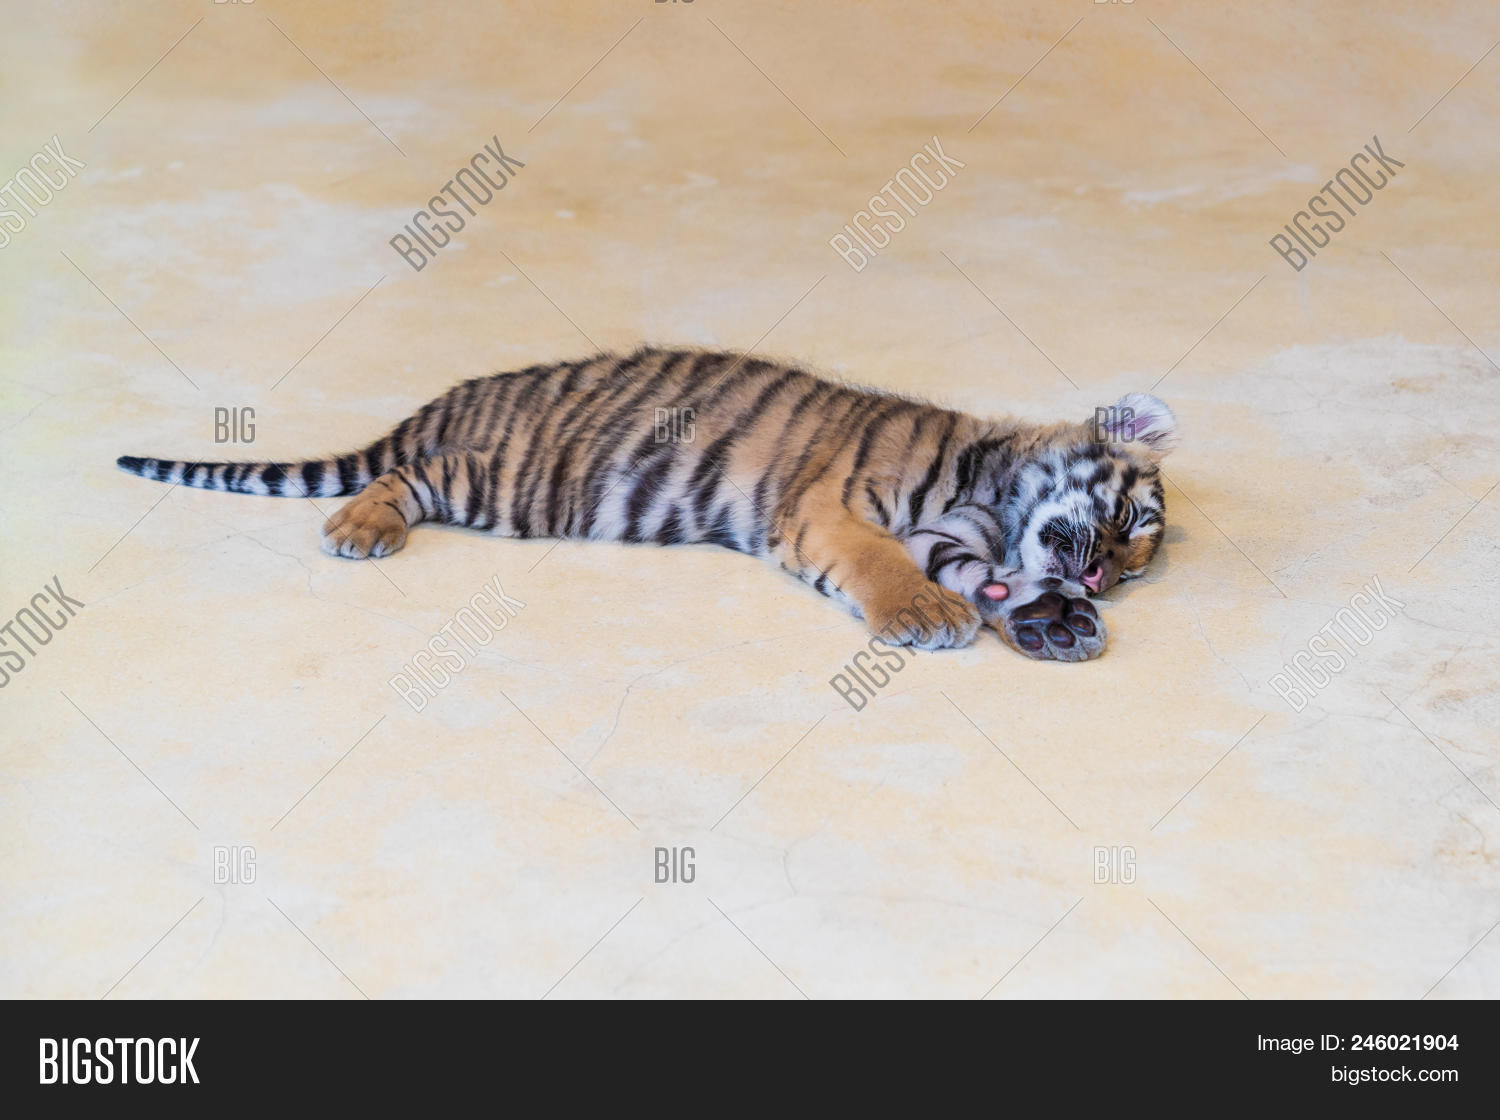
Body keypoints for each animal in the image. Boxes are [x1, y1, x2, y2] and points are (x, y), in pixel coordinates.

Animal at [116, 346, 1177, 660]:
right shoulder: (835, 510)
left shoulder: (961, 542)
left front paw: (1054, 622)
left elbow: (992, 582)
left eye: (1134, 568)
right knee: (400, 477)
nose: (1103, 578)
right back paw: (359, 526)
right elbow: (887, 568)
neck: (991, 494)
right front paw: (928, 616)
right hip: (507, 481)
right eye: (1130, 526)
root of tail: (461, 395)